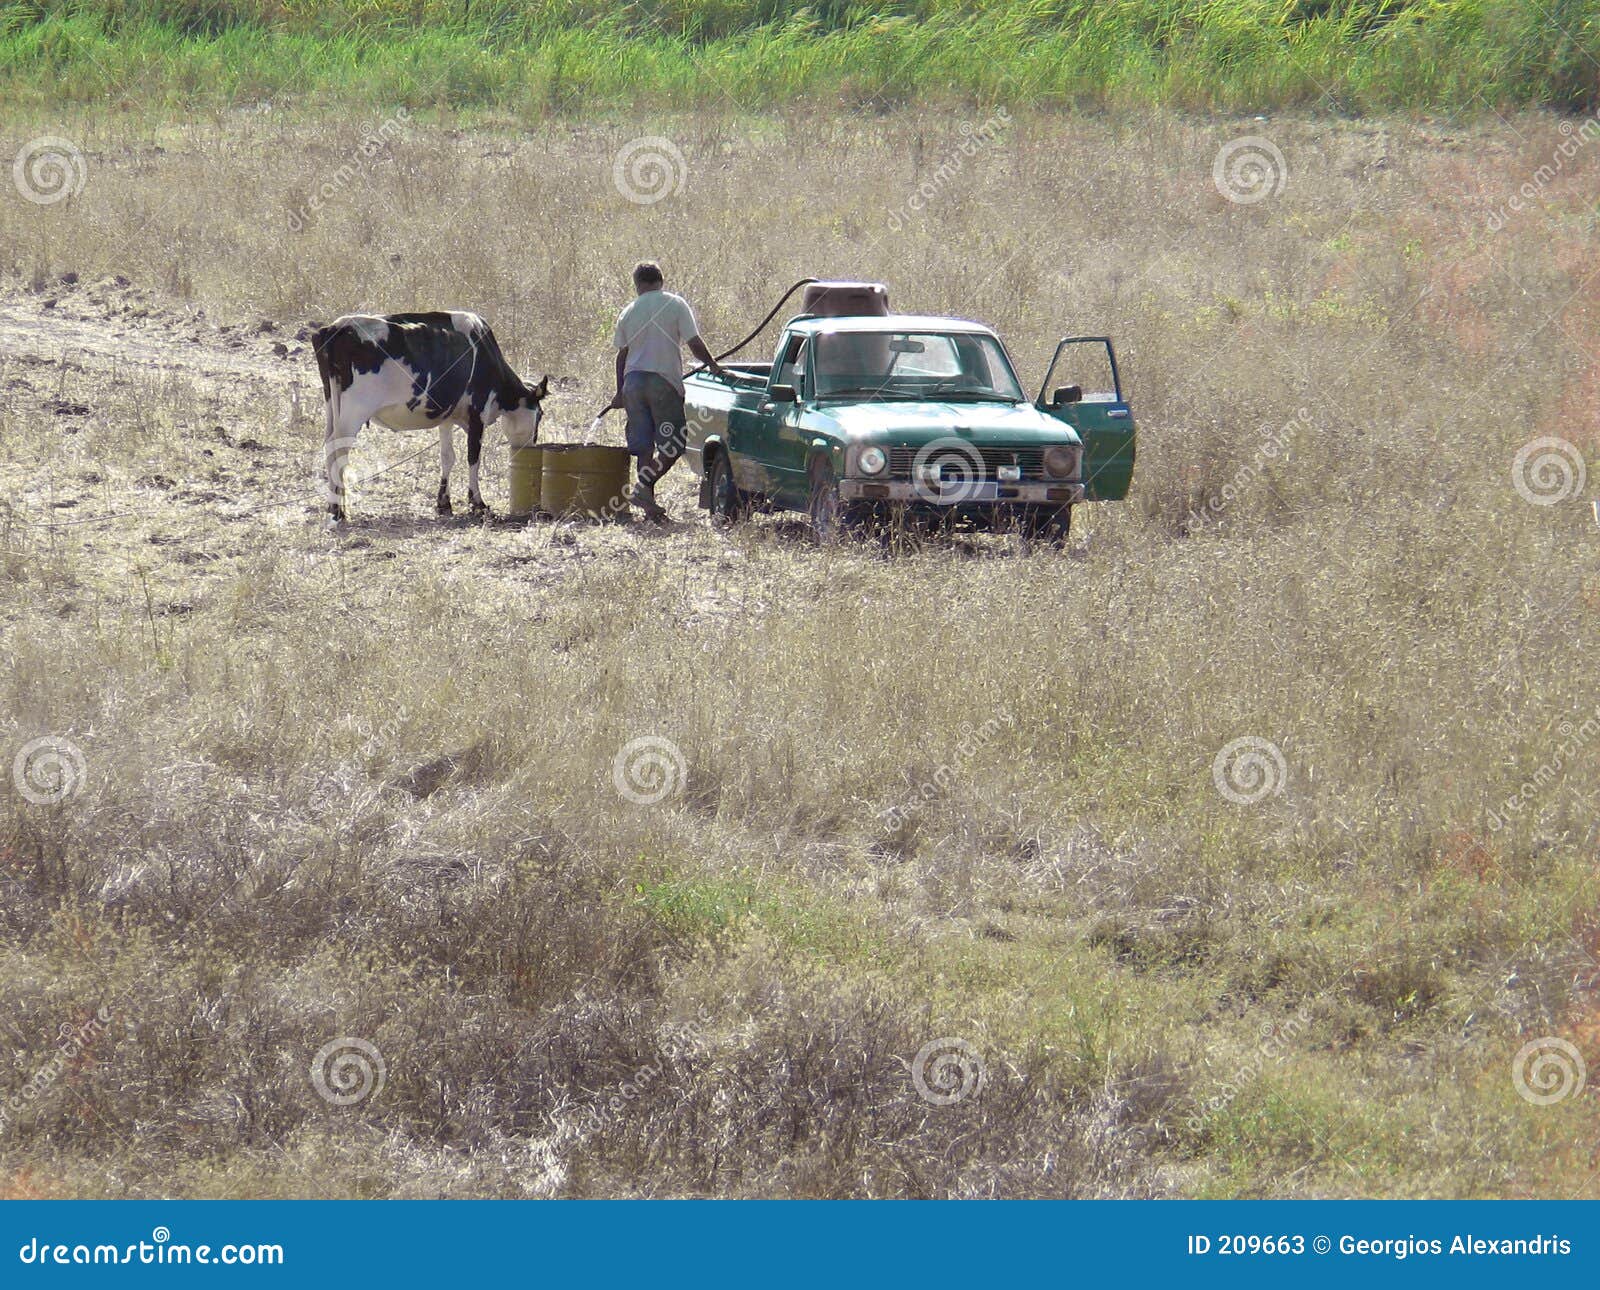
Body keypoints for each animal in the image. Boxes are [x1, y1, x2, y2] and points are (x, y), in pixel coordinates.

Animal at [312, 311, 548, 520]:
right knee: (338, 450)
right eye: (541, 414)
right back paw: (339, 511)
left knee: (329, 448)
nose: (531, 445)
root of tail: (336, 327)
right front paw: (478, 504)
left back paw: (335, 508)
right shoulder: (478, 412)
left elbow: (447, 457)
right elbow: (473, 457)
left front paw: (444, 503)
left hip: (333, 405)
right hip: (355, 410)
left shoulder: (447, 416)